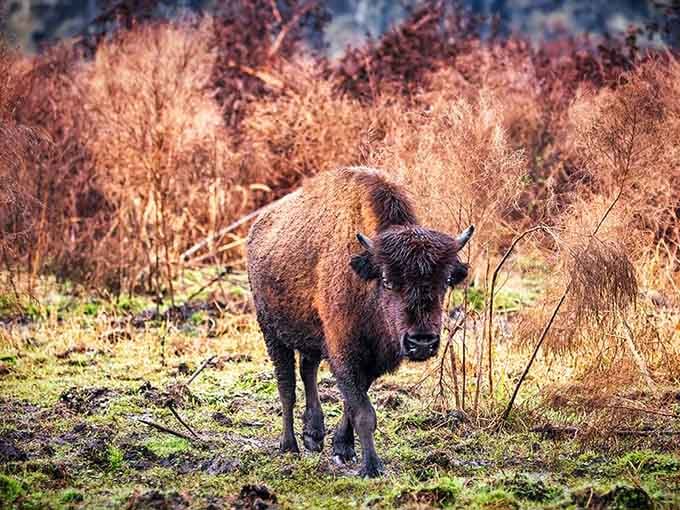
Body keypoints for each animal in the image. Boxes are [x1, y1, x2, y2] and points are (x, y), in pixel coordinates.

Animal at [246, 167, 473, 477]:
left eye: (446, 282)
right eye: (388, 281)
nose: (422, 342)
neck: (366, 276)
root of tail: (257, 227)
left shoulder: (373, 358)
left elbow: (352, 403)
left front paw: (342, 449)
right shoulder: (345, 350)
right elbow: (364, 412)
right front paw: (371, 467)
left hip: (310, 336)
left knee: (307, 370)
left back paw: (313, 436)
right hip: (272, 332)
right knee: (286, 386)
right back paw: (289, 445)